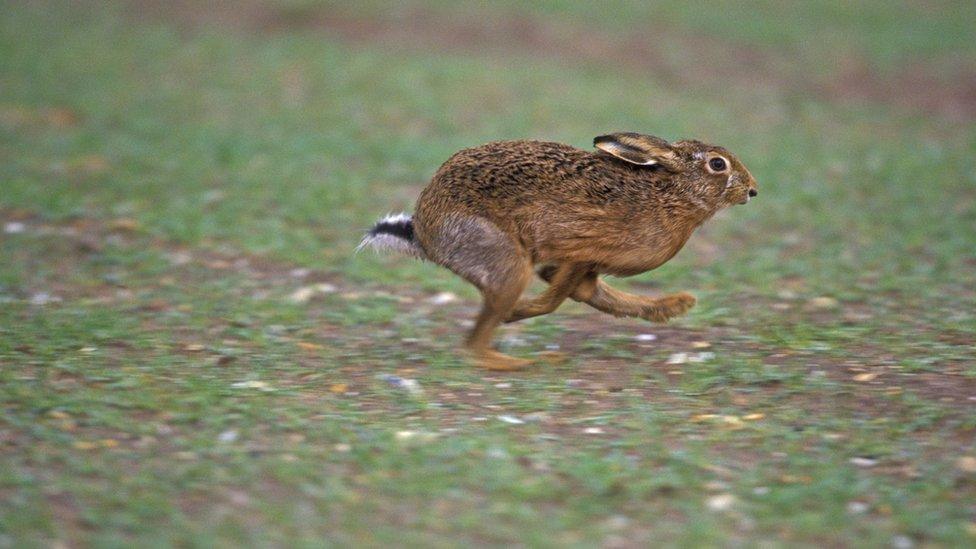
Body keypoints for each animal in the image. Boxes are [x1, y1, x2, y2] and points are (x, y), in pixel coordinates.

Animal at [358, 132, 758, 371]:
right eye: (717, 164)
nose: (753, 190)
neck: (672, 196)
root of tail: (424, 233)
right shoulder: (579, 251)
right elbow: (556, 298)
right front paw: (518, 315)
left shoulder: (584, 264)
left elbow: (590, 293)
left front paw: (675, 305)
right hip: (505, 262)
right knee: (474, 343)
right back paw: (519, 360)